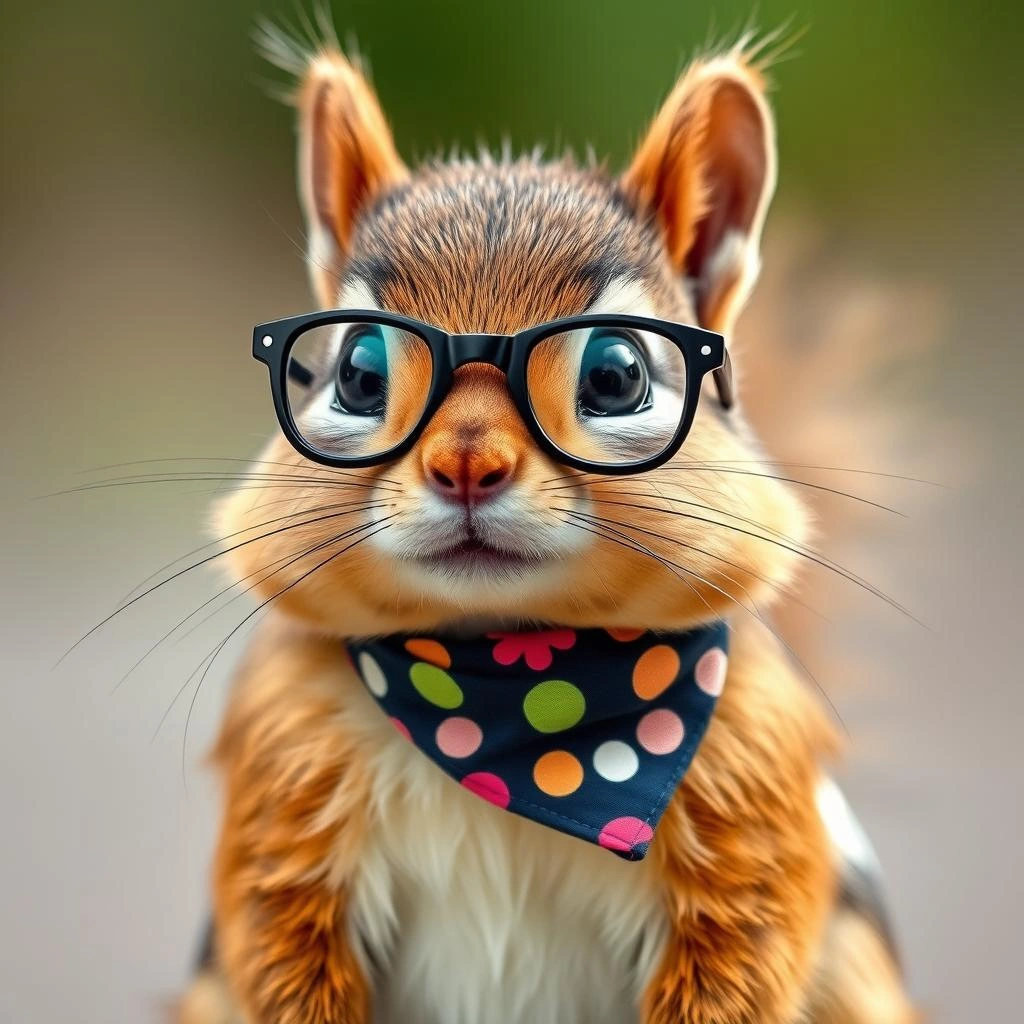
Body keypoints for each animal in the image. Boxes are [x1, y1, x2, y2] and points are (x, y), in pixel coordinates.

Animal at [175, 28, 919, 1024]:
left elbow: (735, 977)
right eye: (360, 371)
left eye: (615, 373)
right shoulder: (283, 809)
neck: (513, 693)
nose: (466, 466)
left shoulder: (749, 828)